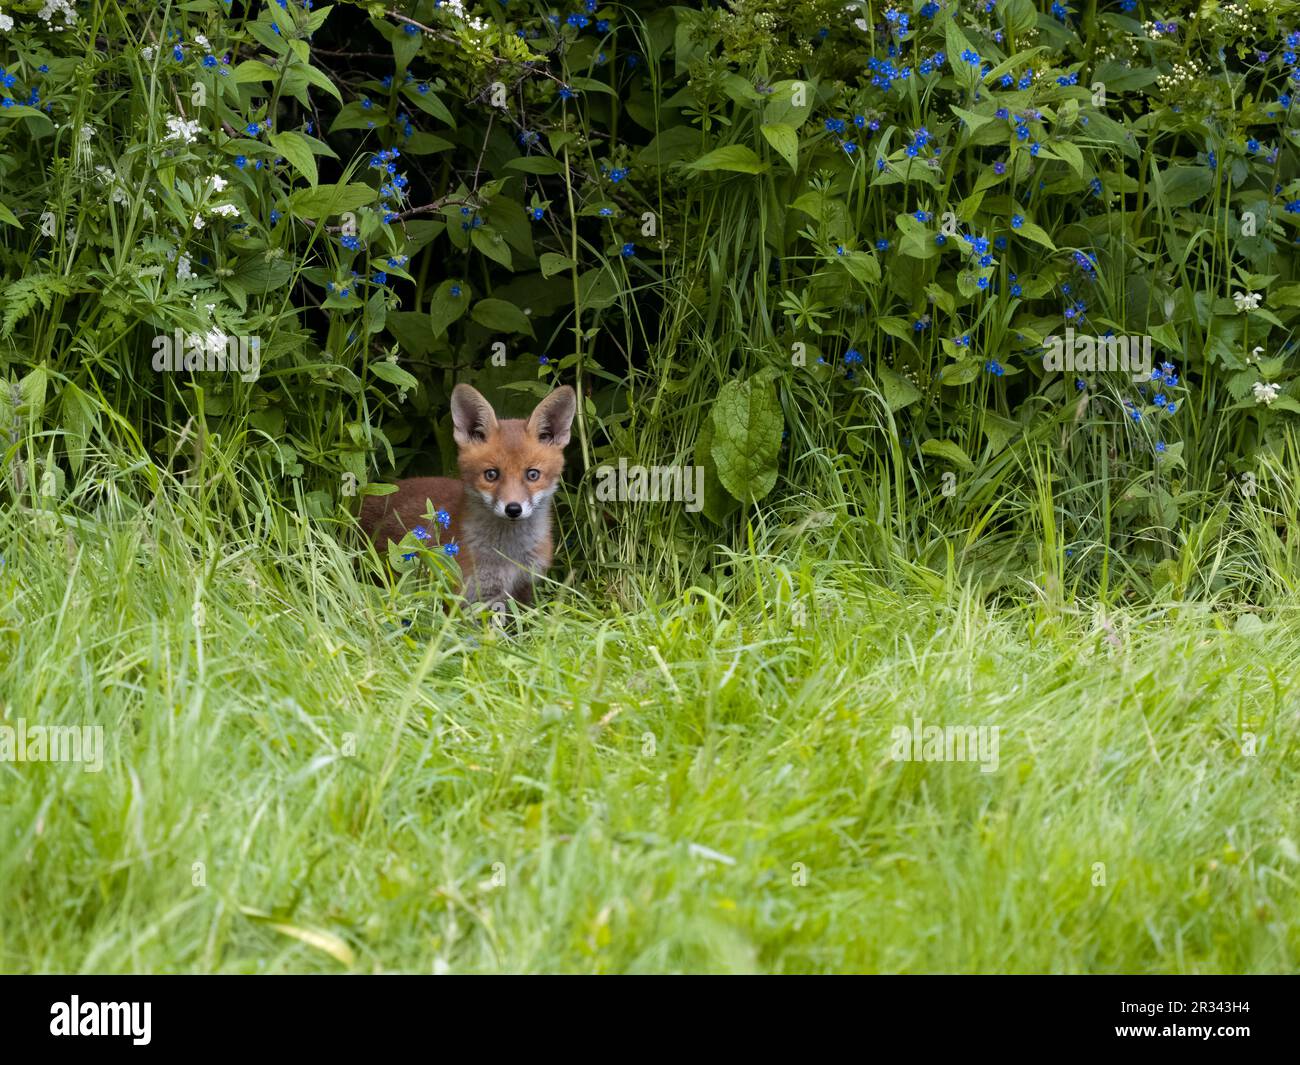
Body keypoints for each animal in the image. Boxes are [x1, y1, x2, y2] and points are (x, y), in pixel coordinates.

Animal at [359, 382, 577, 608]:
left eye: (532, 474)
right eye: (491, 474)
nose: (513, 509)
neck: (508, 556)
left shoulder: (525, 591)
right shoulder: (466, 597)